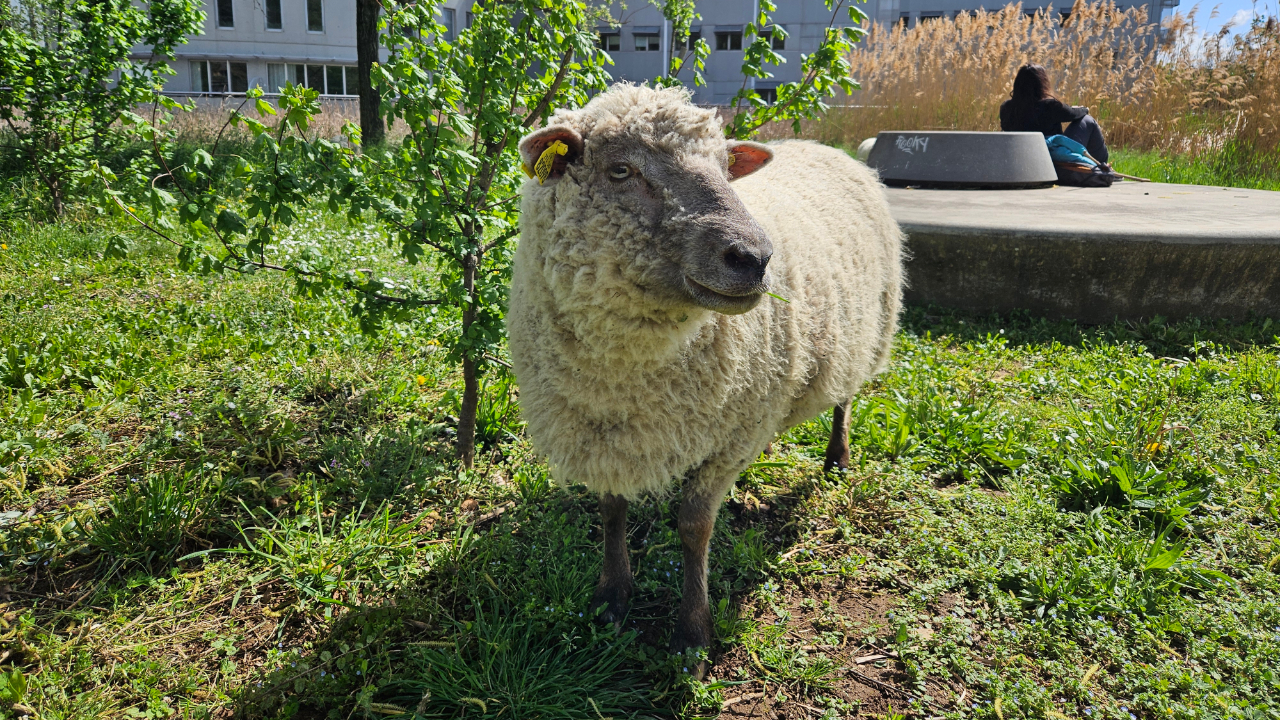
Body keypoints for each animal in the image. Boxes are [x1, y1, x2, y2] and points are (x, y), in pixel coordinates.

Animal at [509, 84, 903, 674]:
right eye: (621, 170)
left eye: (724, 167)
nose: (755, 257)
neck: (621, 375)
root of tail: (823, 146)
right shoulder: (600, 435)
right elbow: (611, 511)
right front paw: (612, 596)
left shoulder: (729, 439)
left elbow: (695, 529)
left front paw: (692, 635)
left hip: (867, 332)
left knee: (845, 398)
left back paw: (838, 457)